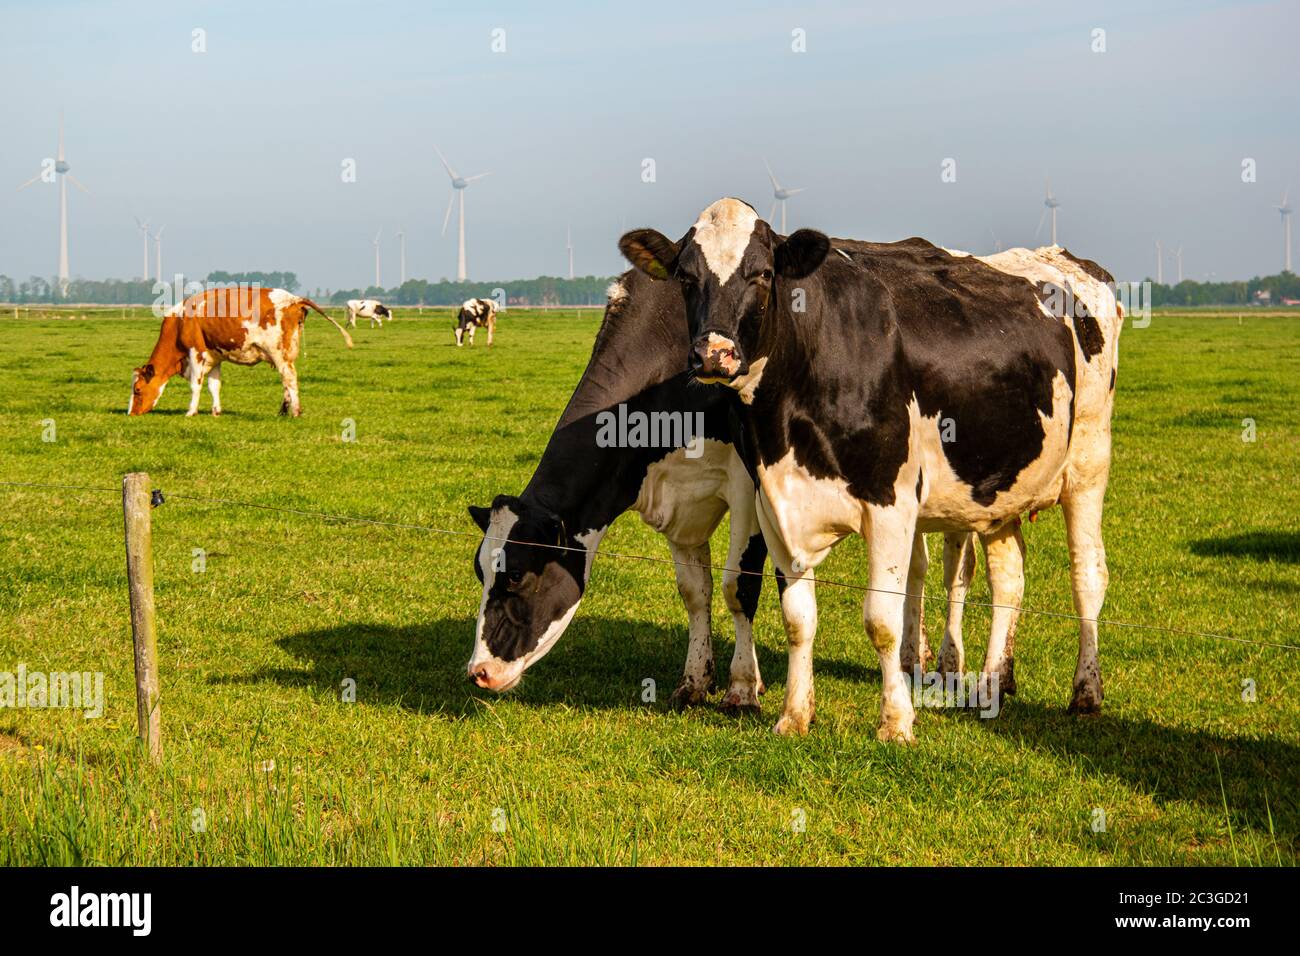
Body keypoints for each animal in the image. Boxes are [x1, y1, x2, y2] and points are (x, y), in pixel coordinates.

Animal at [128, 286, 353, 418]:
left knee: (289, 377)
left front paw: (191, 411)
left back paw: (295, 412)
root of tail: (295, 298)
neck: (179, 322)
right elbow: (214, 385)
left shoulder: (195, 352)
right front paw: (216, 411)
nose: (131, 413)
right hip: (287, 352)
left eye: (137, 390)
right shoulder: (214, 356)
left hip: (277, 351)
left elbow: (196, 385)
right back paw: (284, 410)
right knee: (286, 379)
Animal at [465, 269, 988, 712]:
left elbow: (739, 586)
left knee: (957, 571)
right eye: (480, 573)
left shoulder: (748, 485)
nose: (478, 673)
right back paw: (913, 653)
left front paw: (743, 688)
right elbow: (693, 591)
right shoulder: (675, 494)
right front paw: (695, 681)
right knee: (915, 567)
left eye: (517, 576)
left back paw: (954, 664)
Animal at [619, 198, 1122, 742]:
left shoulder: (890, 505)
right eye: (686, 276)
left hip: (1089, 464)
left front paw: (896, 722)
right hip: (999, 484)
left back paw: (1086, 692)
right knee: (1009, 577)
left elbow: (882, 619)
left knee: (1088, 574)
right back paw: (992, 684)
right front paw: (794, 715)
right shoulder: (775, 505)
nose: (714, 354)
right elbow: (798, 618)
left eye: (763, 273)